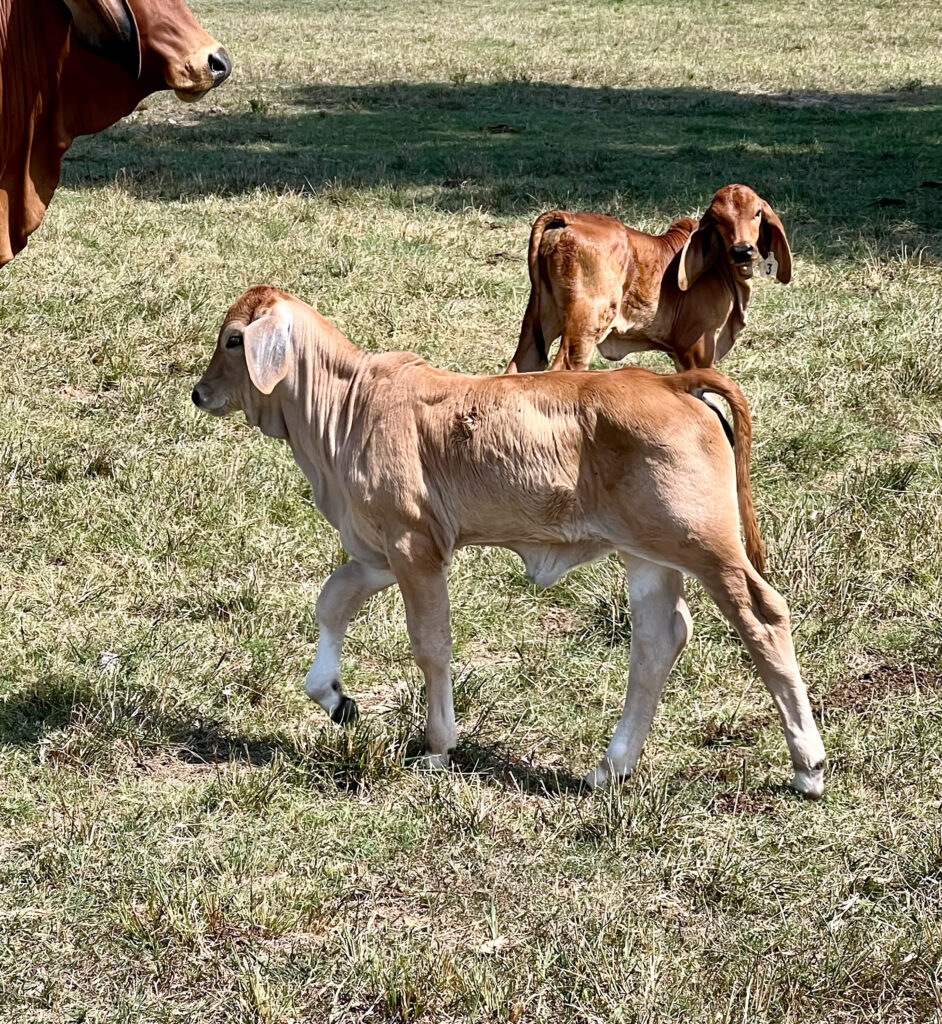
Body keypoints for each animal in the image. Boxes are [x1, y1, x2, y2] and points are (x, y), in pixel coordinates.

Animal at [192, 286, 827, 799]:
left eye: (233, 340)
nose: (198, 393)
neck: (346, 408)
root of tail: (670, 381)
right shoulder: (376, 549)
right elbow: (332, 601)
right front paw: (334, 697)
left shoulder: (415, 546)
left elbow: (431, 644)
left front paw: (437, 746)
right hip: (647, 554)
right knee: (657, 641)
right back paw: (610, 767)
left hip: (704, 544)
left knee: (763, 617)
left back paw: (808, 765)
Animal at [505, 185, 792, 374]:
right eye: (718, 220)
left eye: (757, 213)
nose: (742, 250)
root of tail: (567, 219)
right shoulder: (697, 349)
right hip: (585, 326)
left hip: (539, 321)